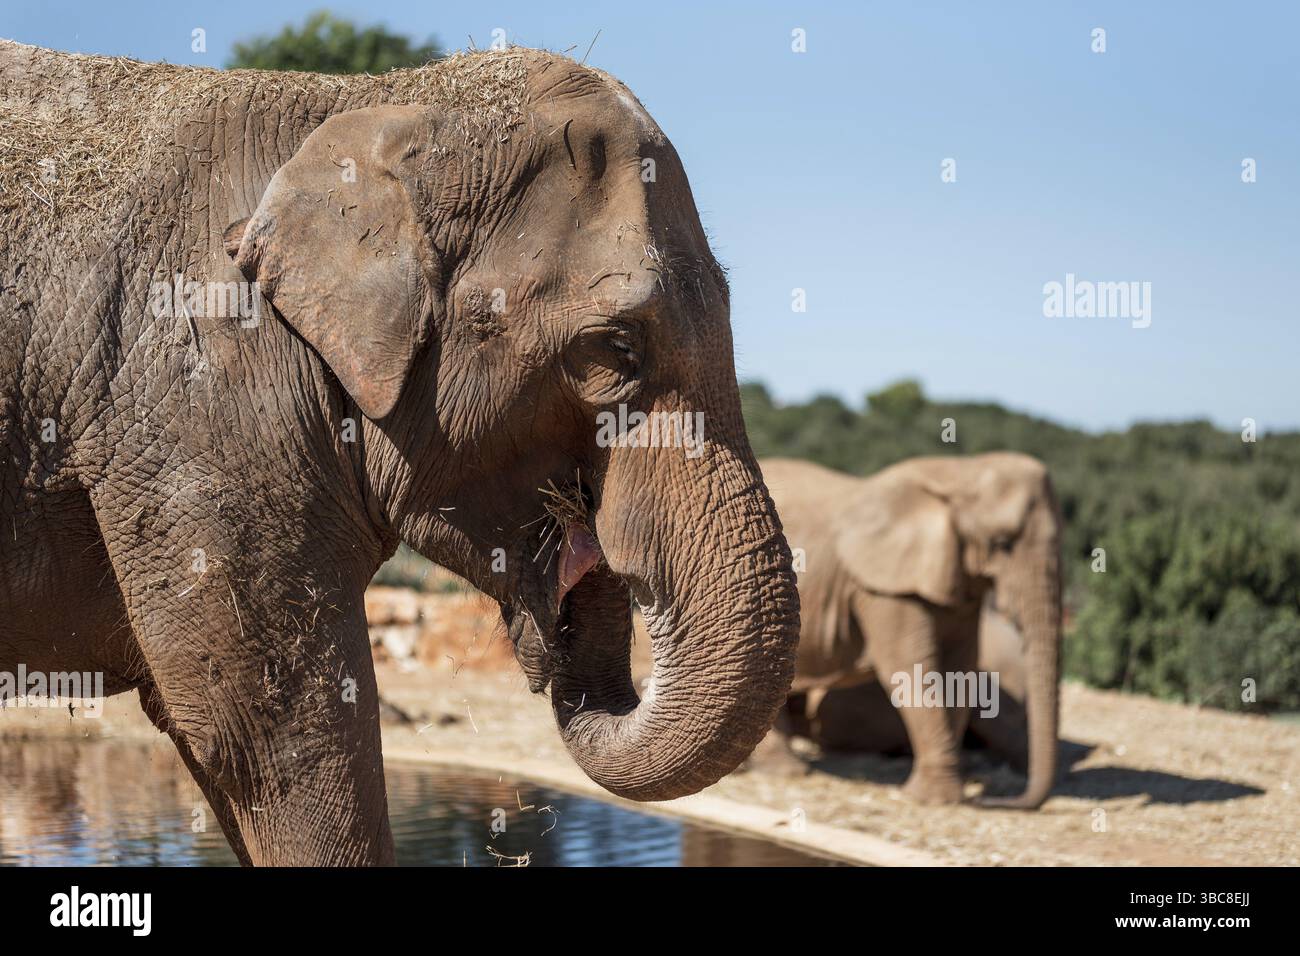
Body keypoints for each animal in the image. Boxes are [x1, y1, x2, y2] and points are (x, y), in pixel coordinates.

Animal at [757, 454, 1062, 808]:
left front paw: (940, 795)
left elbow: (959, 669)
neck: (958, 471)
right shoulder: (885, 588)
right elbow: (907, 667)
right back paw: (785, 771)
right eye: (1002, 543)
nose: (995, 799)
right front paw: (937, 798)